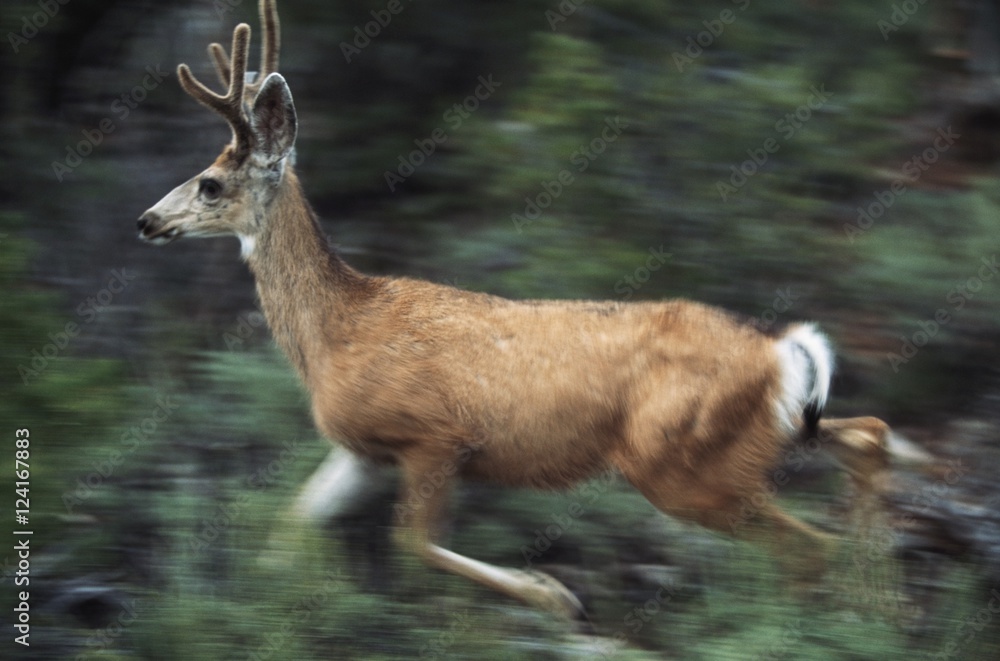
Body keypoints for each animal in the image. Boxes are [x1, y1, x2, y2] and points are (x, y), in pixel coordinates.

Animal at [138, 0, 892, 620]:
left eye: (210, 182)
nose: (147, 221)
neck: (341, 329)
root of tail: (777, 348)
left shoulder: (435, 435)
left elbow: (412, 543)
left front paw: (553, 594)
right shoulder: (363, 451)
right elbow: (288, 530)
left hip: (677, 465)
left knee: (809, 541)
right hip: (762, 432)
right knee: (868, 434)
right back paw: (877, 599)